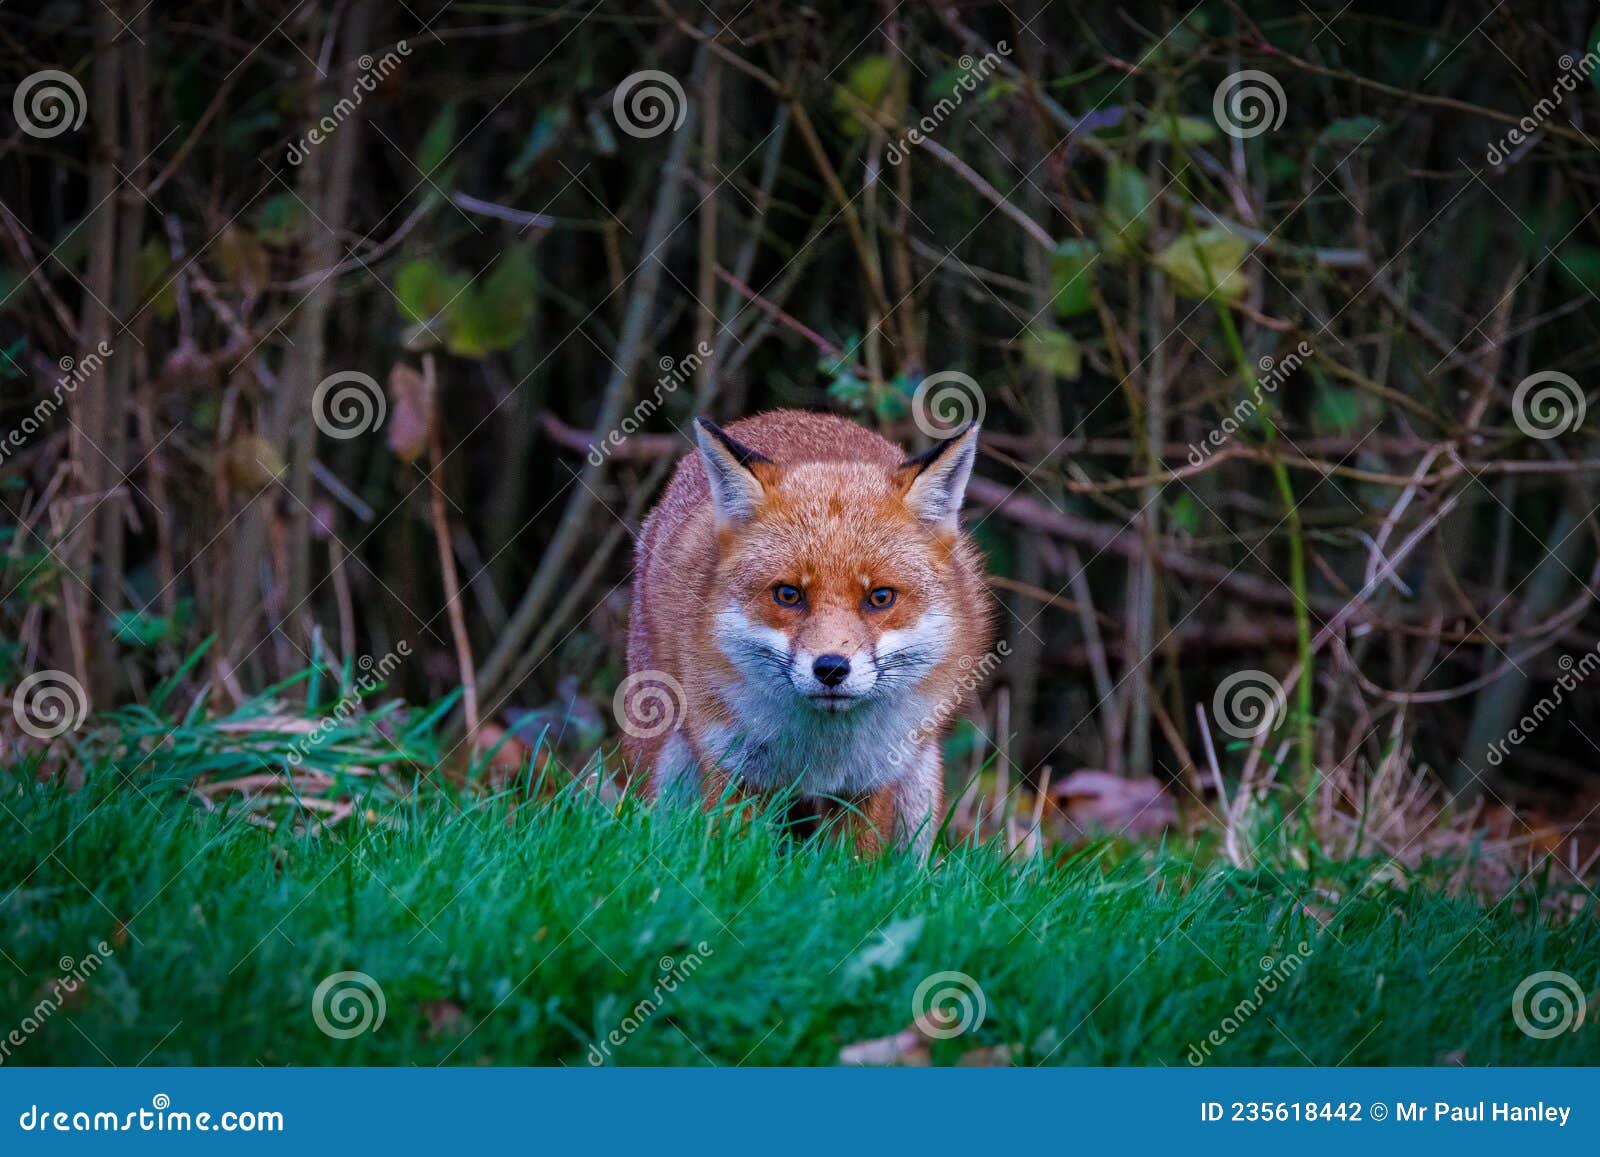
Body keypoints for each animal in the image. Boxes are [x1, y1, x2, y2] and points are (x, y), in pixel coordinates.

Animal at [623, 409, 993, 856]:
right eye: (788, 594)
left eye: (880, 597)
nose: (831, 669)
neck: (820, 750)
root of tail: (790, 414)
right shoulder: (732, 763)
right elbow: (732, 854)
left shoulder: (869, 780)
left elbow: (856, 863)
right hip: (666, 762)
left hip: (918, 791)